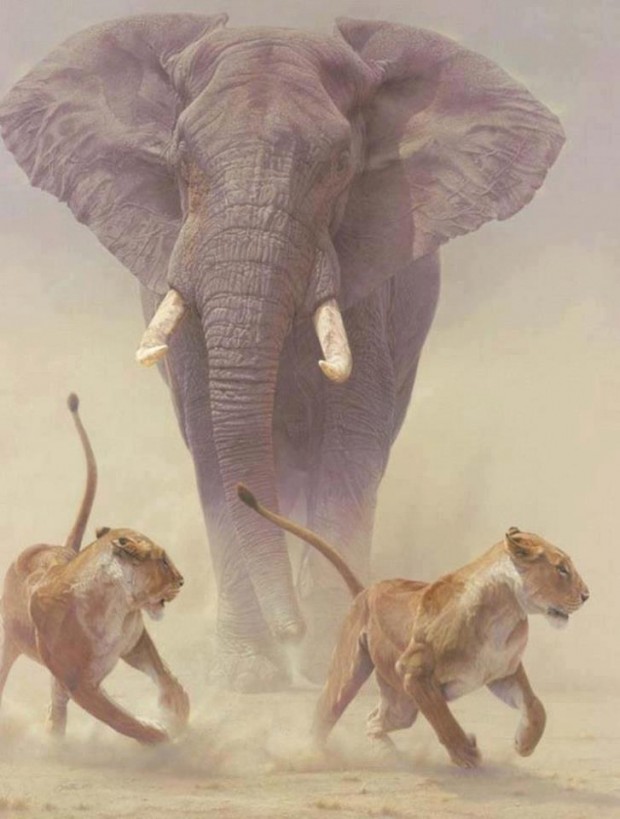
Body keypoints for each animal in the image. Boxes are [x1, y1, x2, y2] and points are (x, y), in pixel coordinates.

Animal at [0, 14, 564, 692]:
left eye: (340, 164)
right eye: (180, 160)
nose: (290, 631)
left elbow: (351, 446)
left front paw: (326, 660)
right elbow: (213, 446)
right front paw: (250, 675)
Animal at [0, 394, 189, 744]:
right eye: (163, 561)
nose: (182, 581)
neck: (118, 608)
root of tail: (52, 547)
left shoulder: (134, 643)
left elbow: (162, 672)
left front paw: (177, 707)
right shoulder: (79, 683)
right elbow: (121, 719)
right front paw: (160, 733)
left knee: (57, 705)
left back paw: (55, 739)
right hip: (11, 642)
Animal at [237, 484, 589, 768]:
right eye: (561, 569)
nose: (587, 595)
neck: (507, 612)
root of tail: (367, 589)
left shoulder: (502, 672)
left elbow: (535, 705)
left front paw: (524, 744)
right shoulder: (414, 670)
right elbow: (443, 718)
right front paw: (466, 752)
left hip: (401, 707)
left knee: (373, 719)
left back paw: (387, 754)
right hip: (352, 675)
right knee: (324, 715)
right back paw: (308, 756)